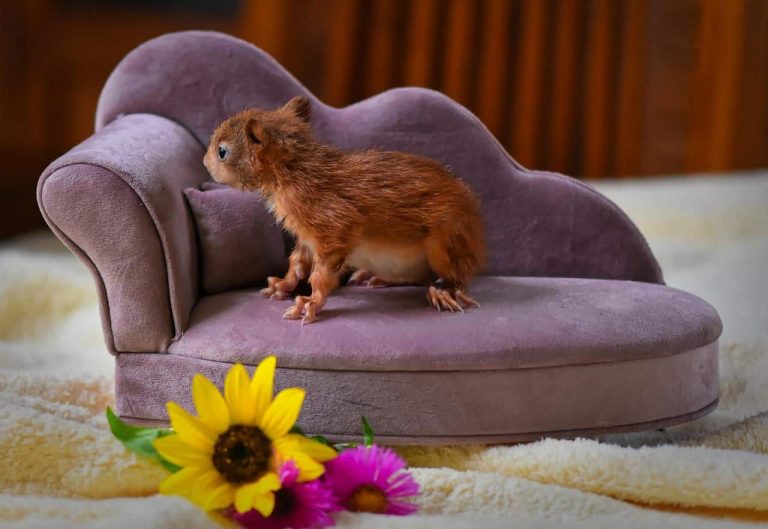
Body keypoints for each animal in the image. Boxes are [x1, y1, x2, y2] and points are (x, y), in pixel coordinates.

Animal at [203, 96, 486, 324]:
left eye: (222, 151)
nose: (205, 163)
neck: (293, 169)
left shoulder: (333, 224)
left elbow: (321, 275)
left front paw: (310, 303)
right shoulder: (307, 237)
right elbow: (297, 263)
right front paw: (282, 285)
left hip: (445, 247)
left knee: (457, 279)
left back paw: (444, 292)